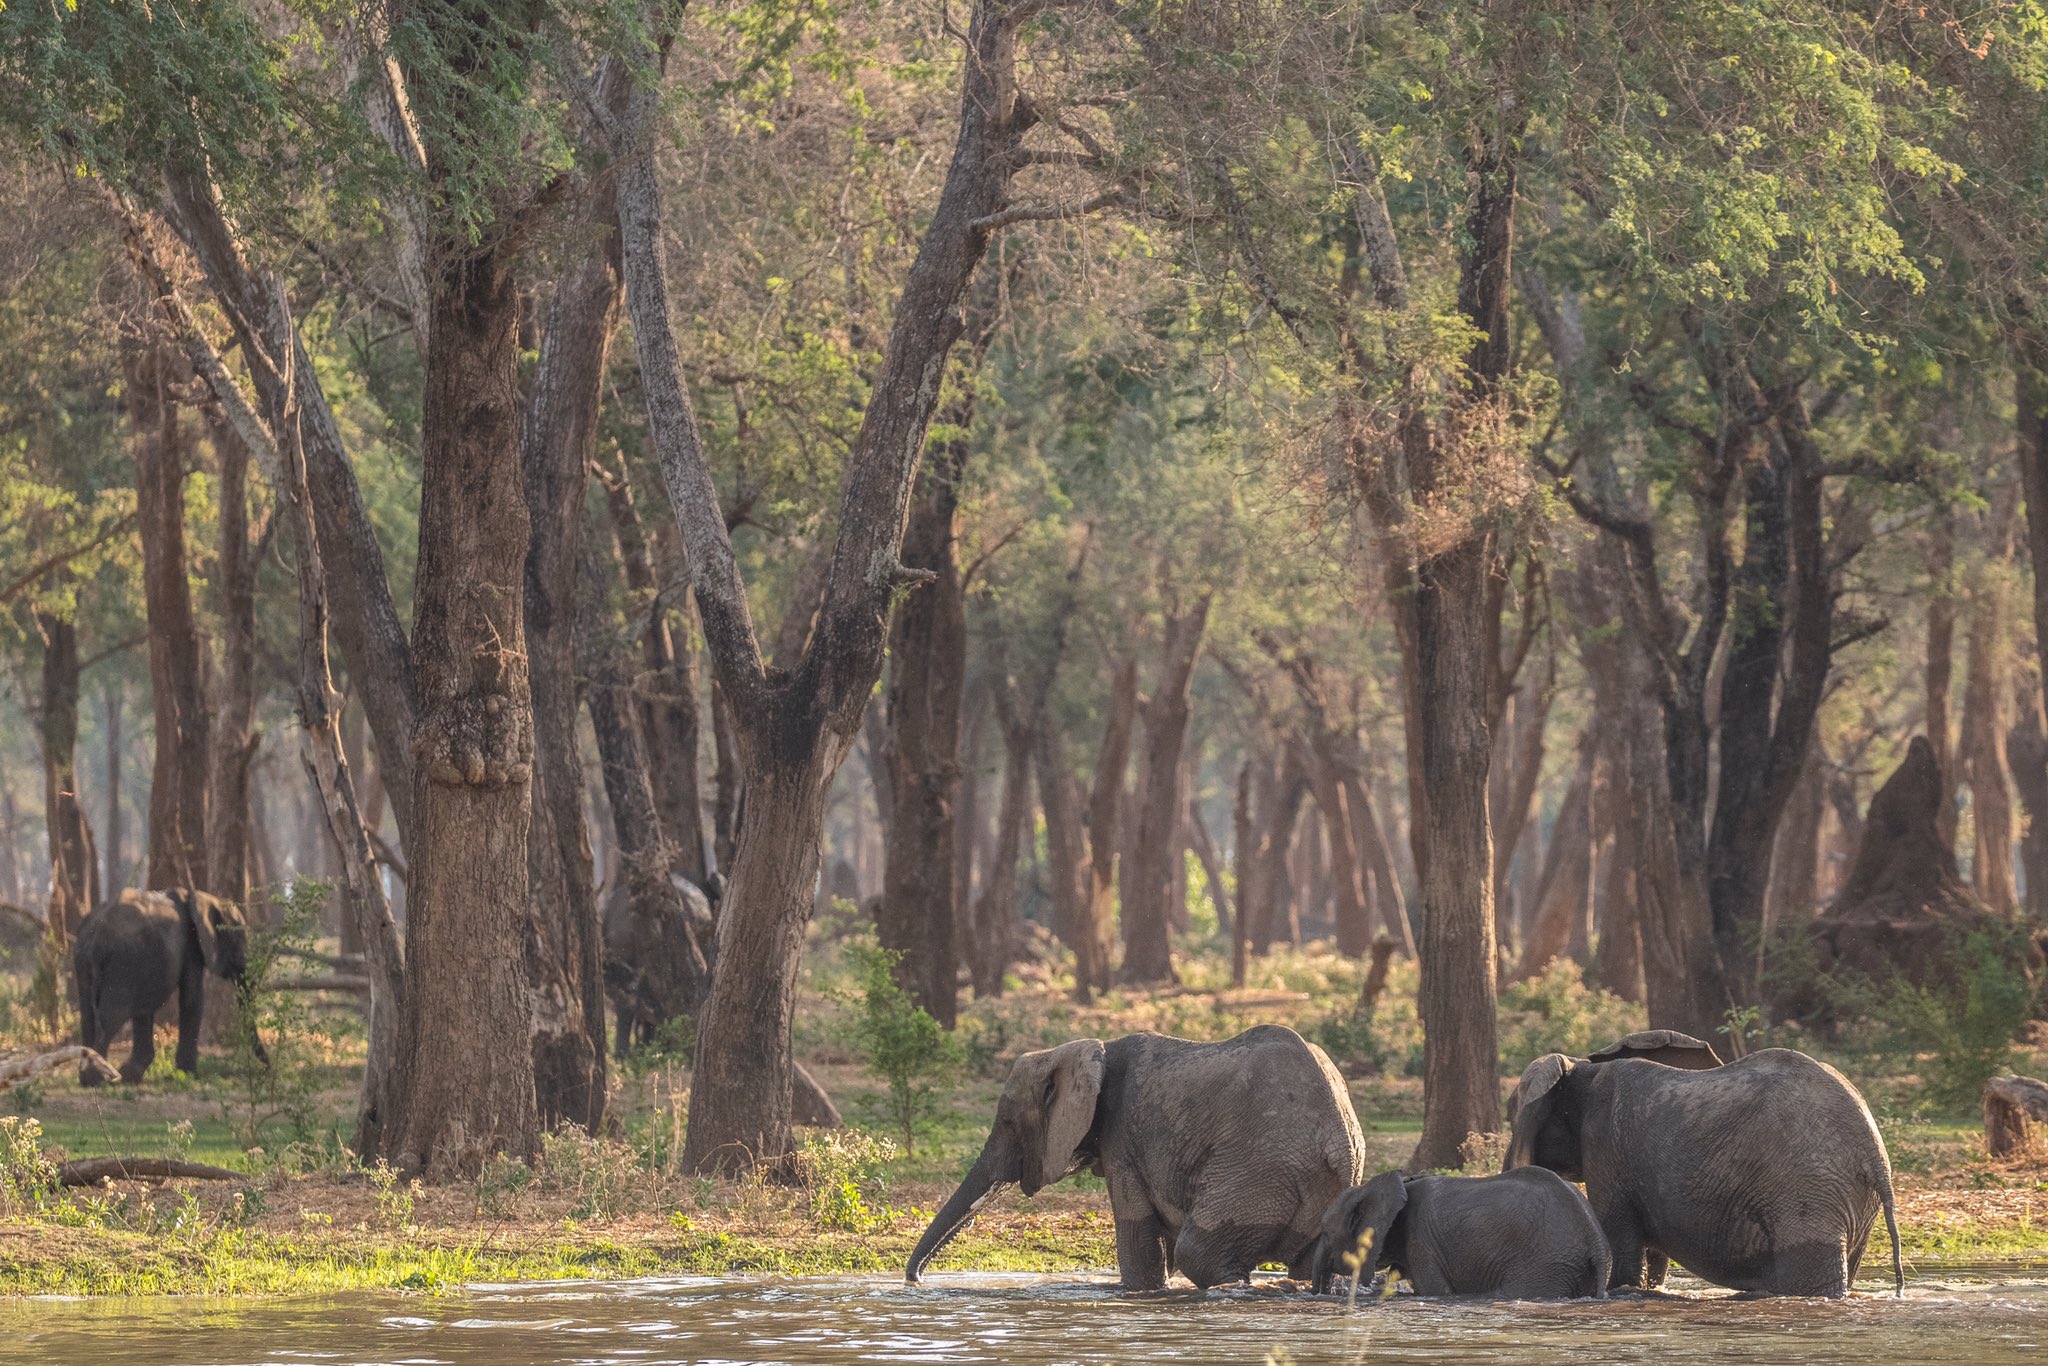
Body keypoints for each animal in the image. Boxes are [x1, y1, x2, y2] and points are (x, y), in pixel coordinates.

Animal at [72, 888, 264, 1085]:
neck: (200, 897)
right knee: (110, 1018)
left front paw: (131, 1075)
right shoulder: (191, 945)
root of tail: (96, 935)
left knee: (87, 1016)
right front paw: (188, 1075)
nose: (267, 1068)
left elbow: (144, 1010)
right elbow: (191, 1000)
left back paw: (87, 1080)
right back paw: (98, 1080)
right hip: (120, 963)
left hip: (84, 960)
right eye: (238, 938)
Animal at [906, 1024, 1366, 1290]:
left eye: (1006, 1120)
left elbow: (1140, 1242)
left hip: (1259, 1170)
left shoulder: (1123, 1139)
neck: (1091, 1049)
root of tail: (1340, 1140)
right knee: (1307, 1266)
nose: (915, 1281)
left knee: (1198, 1253)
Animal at [1311, 1167, 1611, 1299]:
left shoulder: (1421, 1240)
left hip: (1545, 1262)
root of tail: (1595, 1238)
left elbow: (1434, 1289)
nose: (1322, 1293)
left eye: (1325, 1232)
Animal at [1504, 1029, 1902, 1298]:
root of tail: (1874, 1154)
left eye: (1510, 1117)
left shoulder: (1606, 1148)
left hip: (1807, 1190)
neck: (1581, 1069)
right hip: (1851, 1199)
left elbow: (1620, 1236)